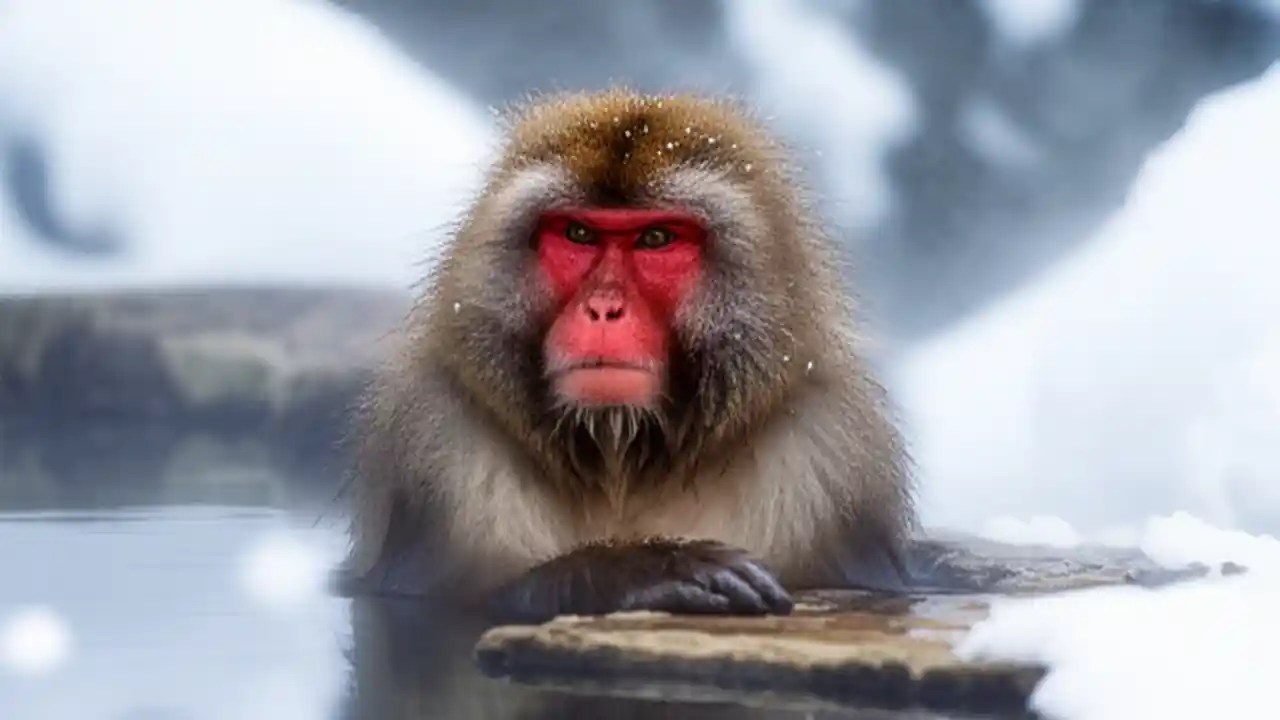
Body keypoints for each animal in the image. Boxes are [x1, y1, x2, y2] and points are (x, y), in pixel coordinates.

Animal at [339, 89, 915, 624]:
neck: (624, 459)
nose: (603, 309)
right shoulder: (434, 450)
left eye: (655, 238)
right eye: (579, 233)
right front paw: (641, 571)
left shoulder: (831, 461)